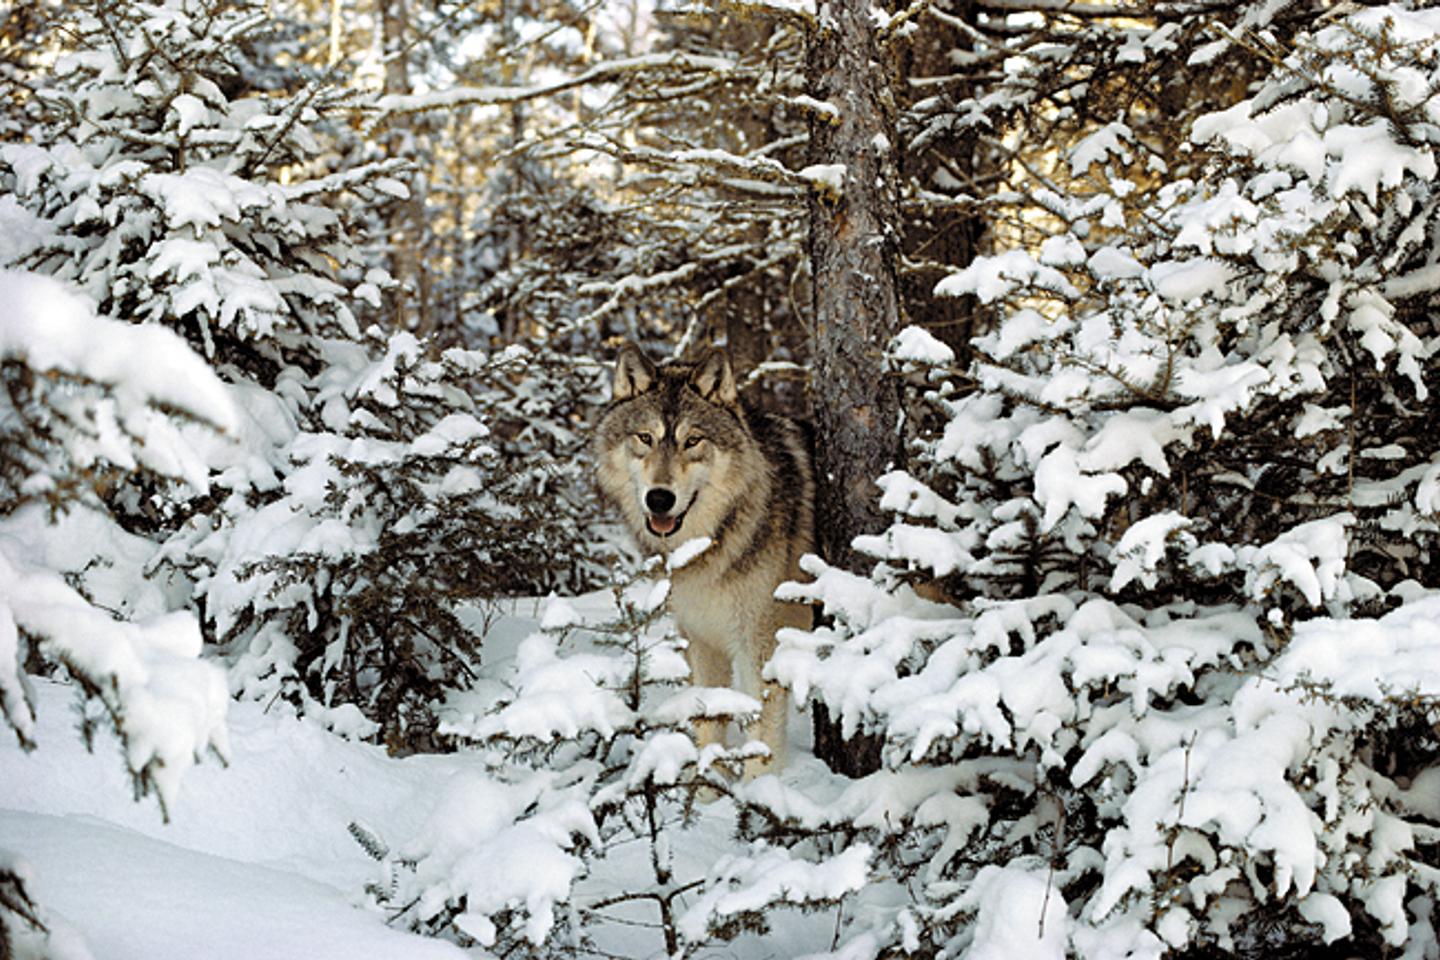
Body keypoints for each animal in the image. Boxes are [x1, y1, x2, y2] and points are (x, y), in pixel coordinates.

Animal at [594, 344, 816, 778]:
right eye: (645, 438)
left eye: (692, 440)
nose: (659, 498)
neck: (706, 551)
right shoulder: (700, 641)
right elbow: (708, 724)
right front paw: (708, 790)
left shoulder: (760, 647)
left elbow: (761, 741)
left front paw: (759, 793)